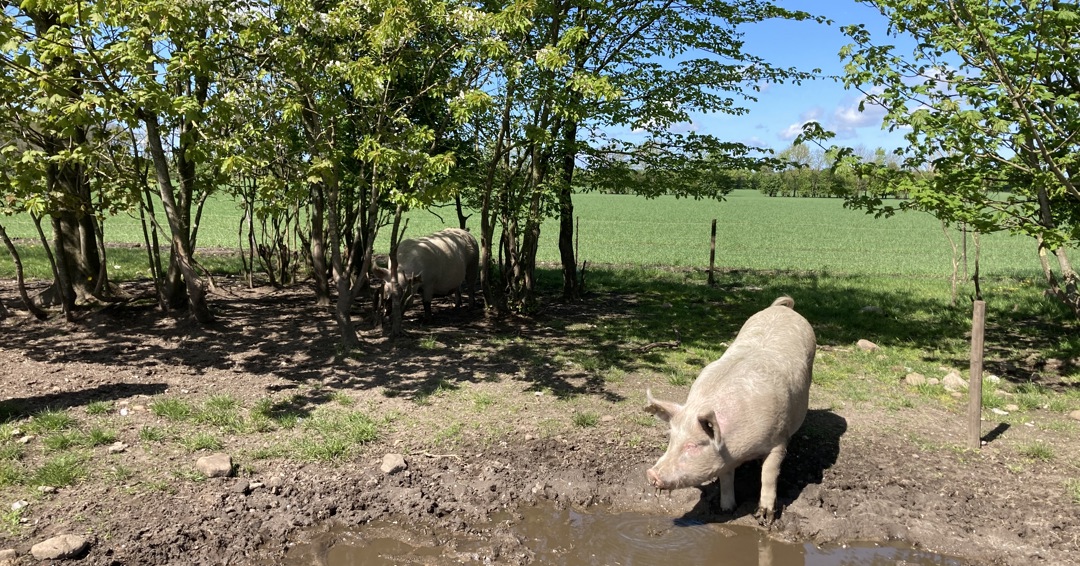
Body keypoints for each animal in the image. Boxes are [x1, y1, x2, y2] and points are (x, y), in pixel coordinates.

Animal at [644, 296, 815, 524]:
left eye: (693, 445)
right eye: (671, 439)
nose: (651, 474)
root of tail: (784, 309)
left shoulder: (779, 440)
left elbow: (769, 475)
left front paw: (764, 518)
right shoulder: (726, 457)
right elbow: (726, 477)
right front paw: (725, 509)